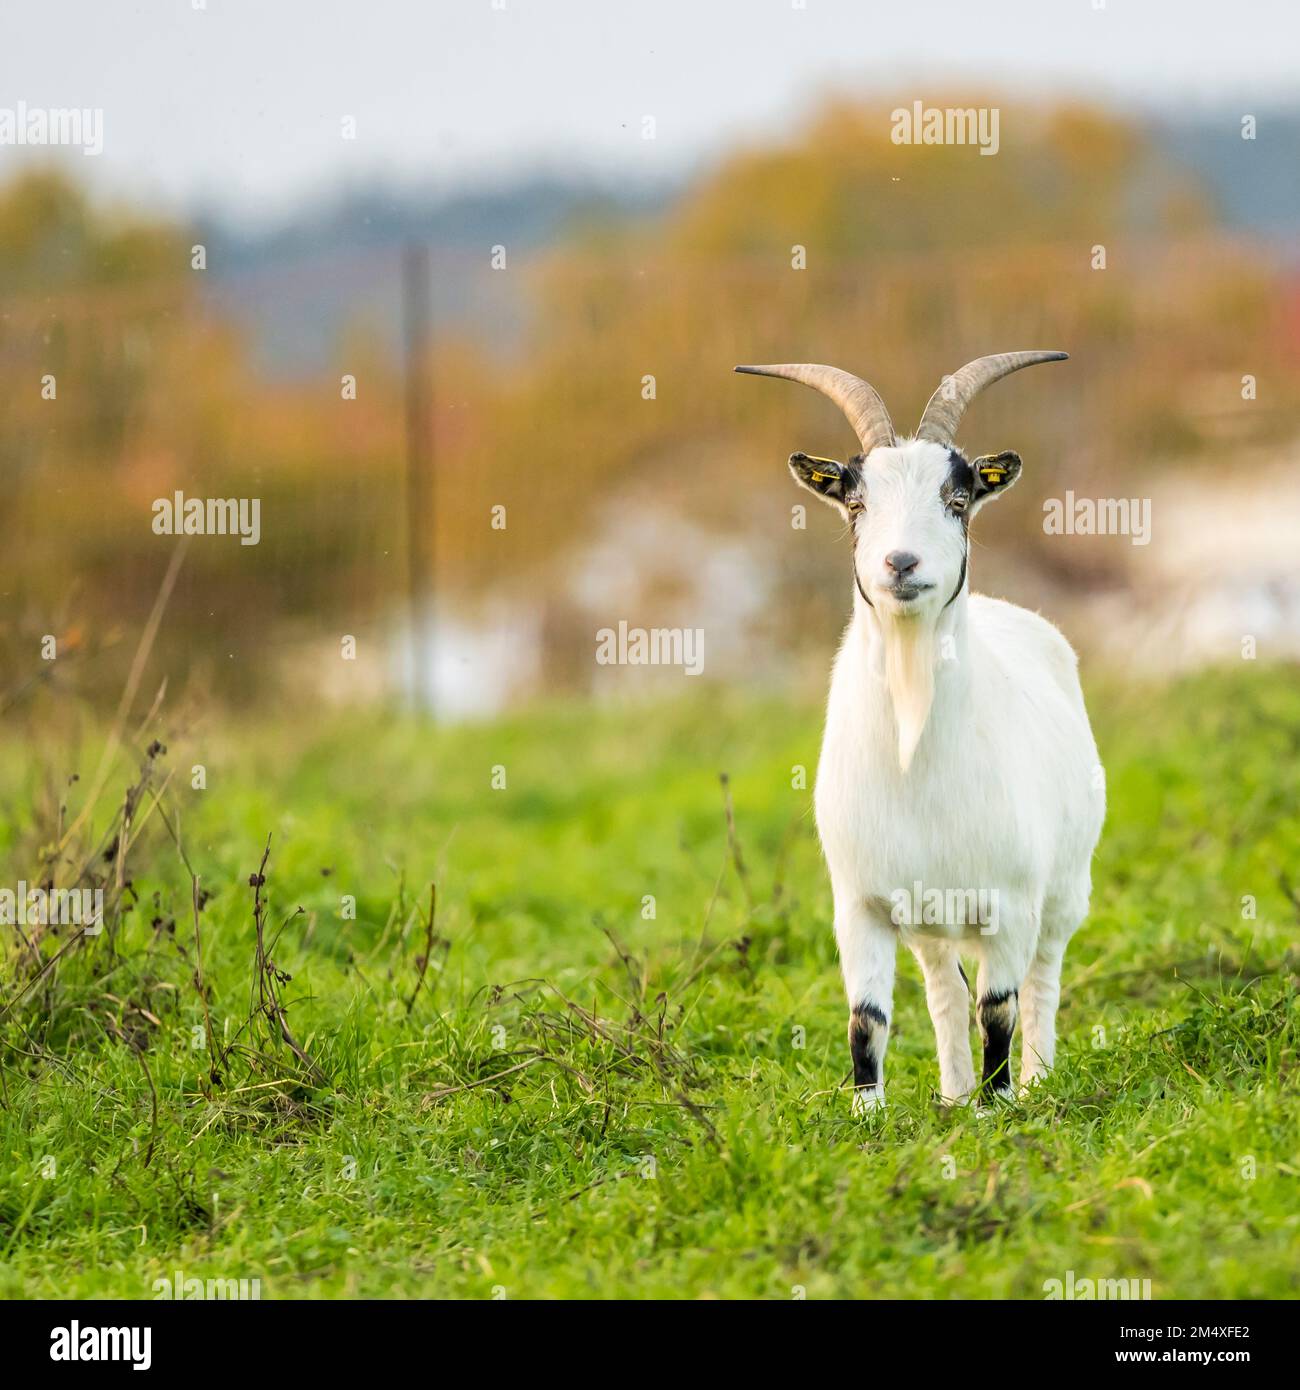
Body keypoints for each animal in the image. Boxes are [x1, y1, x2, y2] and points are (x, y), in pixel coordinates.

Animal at [736, 353, 1104, 1111]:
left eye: (957, 500)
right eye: (855, 504)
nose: (901, 563)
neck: (913, 752)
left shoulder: (1009, 903)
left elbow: (1000, 1007)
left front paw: (1001, 1108)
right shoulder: (861, 904)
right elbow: (867, 1018)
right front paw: (868, 1116)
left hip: (1064, 889)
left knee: (1042, 981)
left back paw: (1034, 1081)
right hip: (930, 917)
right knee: (941, 986)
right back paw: (954, 1093)